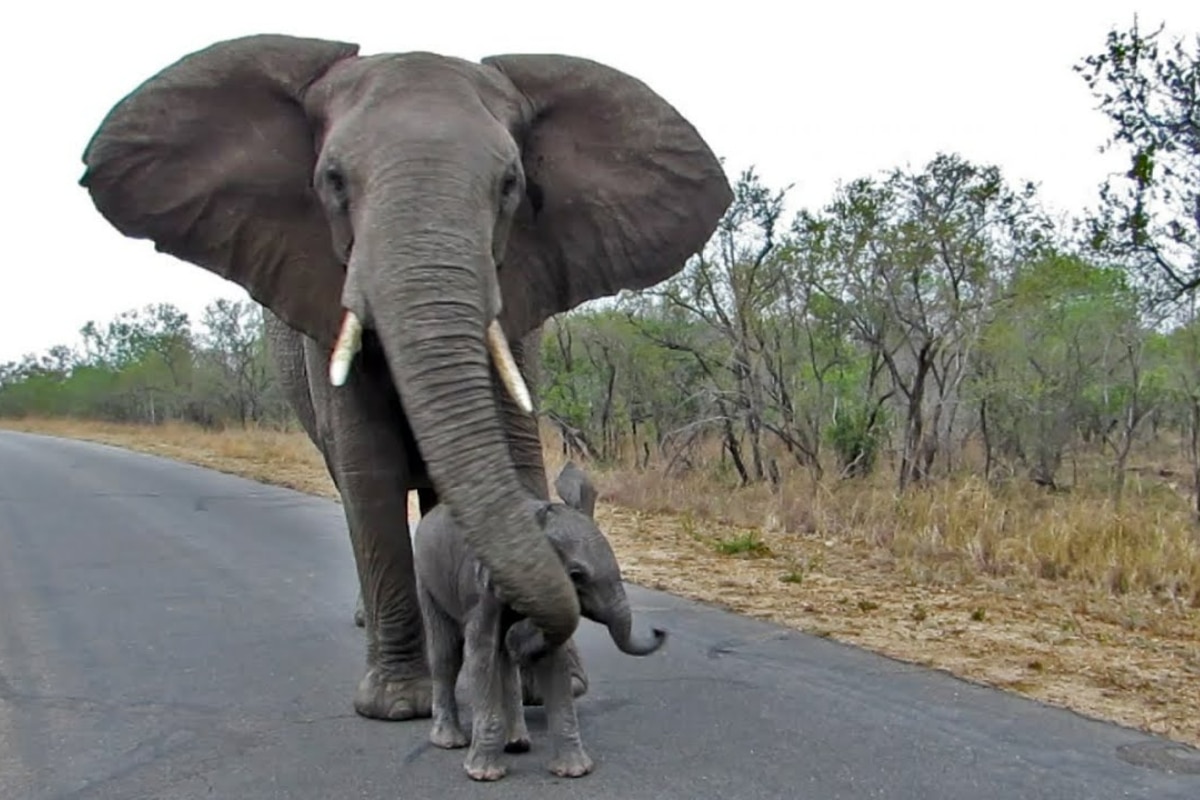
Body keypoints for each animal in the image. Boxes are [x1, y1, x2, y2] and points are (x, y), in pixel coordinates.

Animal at [78, 33, 732, 726]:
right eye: (332, 181)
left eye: (510, 184)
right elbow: (369, 472)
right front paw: (397, 705)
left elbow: (513, 453)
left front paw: (551, 685)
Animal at [413, 461, 666, 780]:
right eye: (576, 576)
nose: (659, 630)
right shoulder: (482, 590)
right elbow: (480, 652)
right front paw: (484, 775)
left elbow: (552, 660)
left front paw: (574, 772)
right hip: (426, 578)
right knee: (447, 653)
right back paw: (449, 741)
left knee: (502, 660)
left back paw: (517, 743)